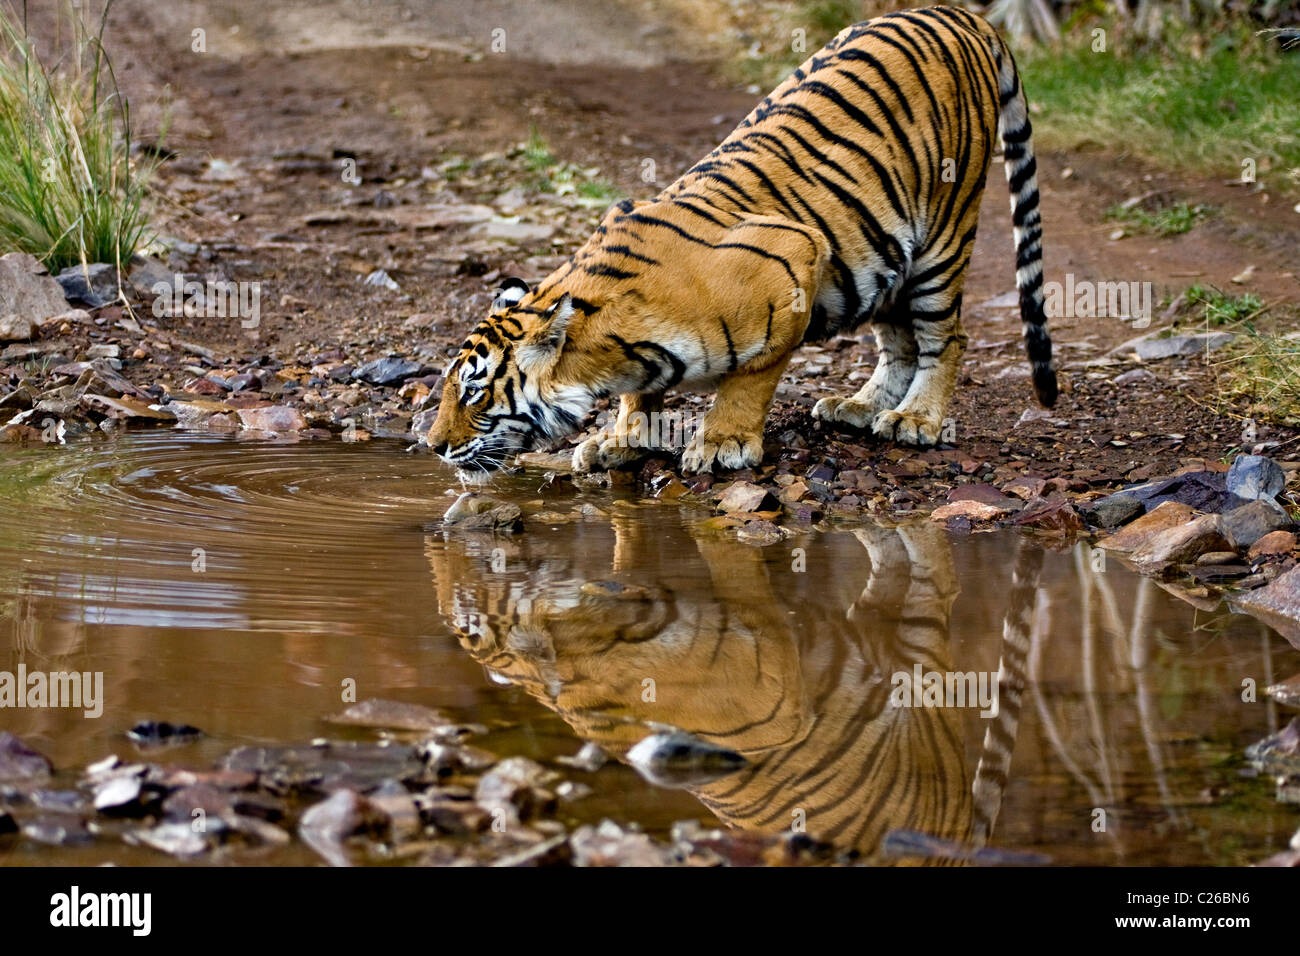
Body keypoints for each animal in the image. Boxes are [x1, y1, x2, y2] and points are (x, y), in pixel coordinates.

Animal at [425, 4, 1056, 476]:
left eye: (475, 393)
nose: (432, 447)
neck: (606, 353)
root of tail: (956, 12)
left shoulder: (796, 260)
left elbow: (748, 381)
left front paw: (722, 442)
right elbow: (639, 395)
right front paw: (622, 438)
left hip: (943, 236)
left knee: (946, 337)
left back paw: (915, 420)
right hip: (882, 251)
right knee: (897, 339)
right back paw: (858, 407)